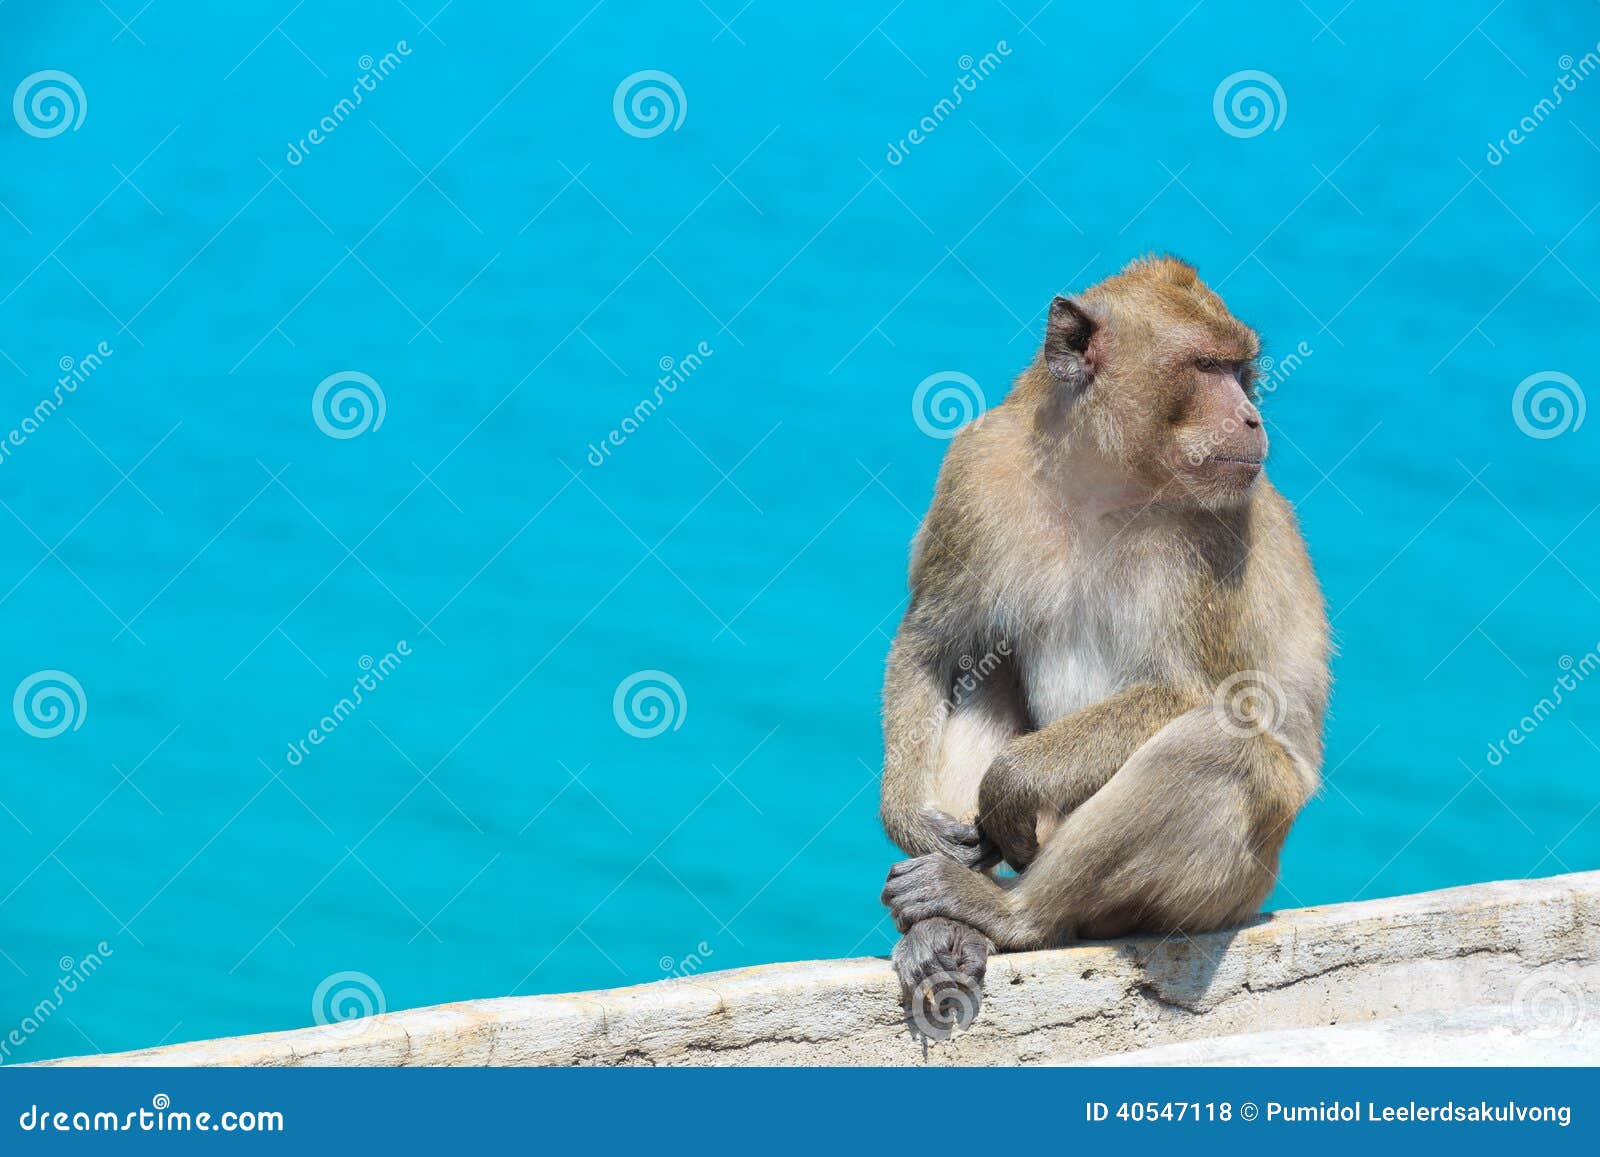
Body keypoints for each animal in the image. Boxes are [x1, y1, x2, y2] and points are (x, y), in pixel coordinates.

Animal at [877, 255, 1330, 1033]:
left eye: (1242, 371)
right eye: (1208, 367)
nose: (1252, 418)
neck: (1101, 478)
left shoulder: (1217, 531)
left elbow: (1204, 695)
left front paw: (1011, 780)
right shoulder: (974, 472)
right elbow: (931, 648)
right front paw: (911, 820)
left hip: (1234, 886)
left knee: (1225, 748)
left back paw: (1008, 912)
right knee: (982, 665)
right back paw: (944, 929)